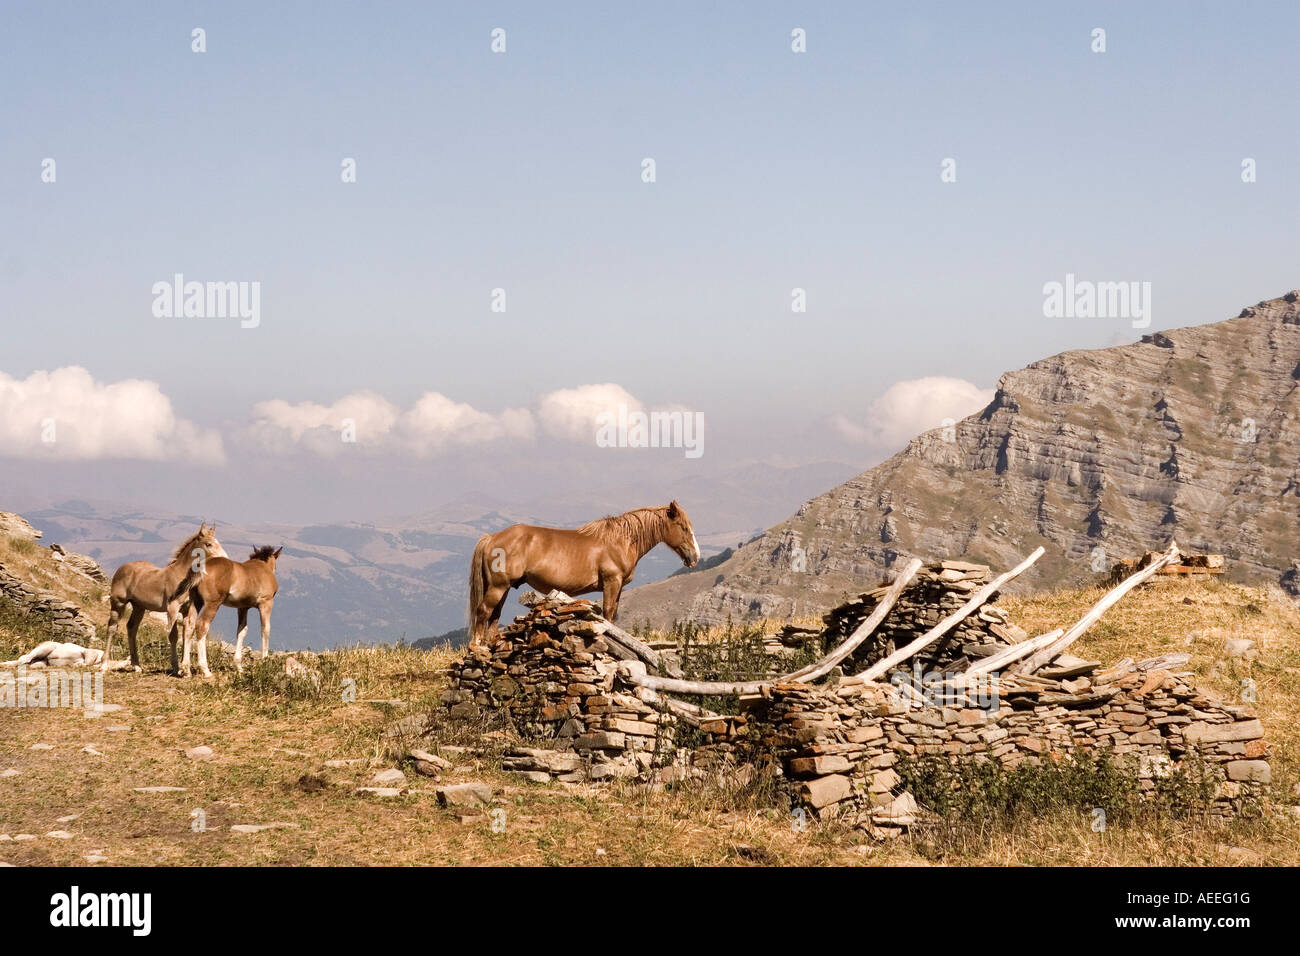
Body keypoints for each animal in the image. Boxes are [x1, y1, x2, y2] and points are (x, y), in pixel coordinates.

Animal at [101, 523, 228, 673]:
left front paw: (185, 668)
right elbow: (173, 636)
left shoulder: (187, 609)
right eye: (208, 544)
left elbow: (186, 633)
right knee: (112, 627)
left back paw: (137, 665)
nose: (225, 558)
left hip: (139, 607)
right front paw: (176, 667)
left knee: (132, 628)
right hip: (118, 603)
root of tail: (121, 568)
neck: (181, 576)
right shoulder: (172, 608)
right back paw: (104, 664)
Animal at [183, 545, 282, 677]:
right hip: (212, 603)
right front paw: (265, 661)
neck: (263, 567)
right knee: (202, 625)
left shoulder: (242, 607)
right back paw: (206, 670)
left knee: (189, 625)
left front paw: (238, 667)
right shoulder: (266, 603)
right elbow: (265, 629)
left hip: (196, 601)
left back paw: (185, 669)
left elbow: (242, 630)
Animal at [467, 500, 700, 648]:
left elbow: (613, 614)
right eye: (683, 527)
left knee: (494, 615)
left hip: (503, 588)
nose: (695, 557)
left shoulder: (618, 587)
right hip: (498, 587)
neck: (620, 540)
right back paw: (477, 646)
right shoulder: (612, 582)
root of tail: (491, 537)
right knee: (484, 611)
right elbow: (608, 613)